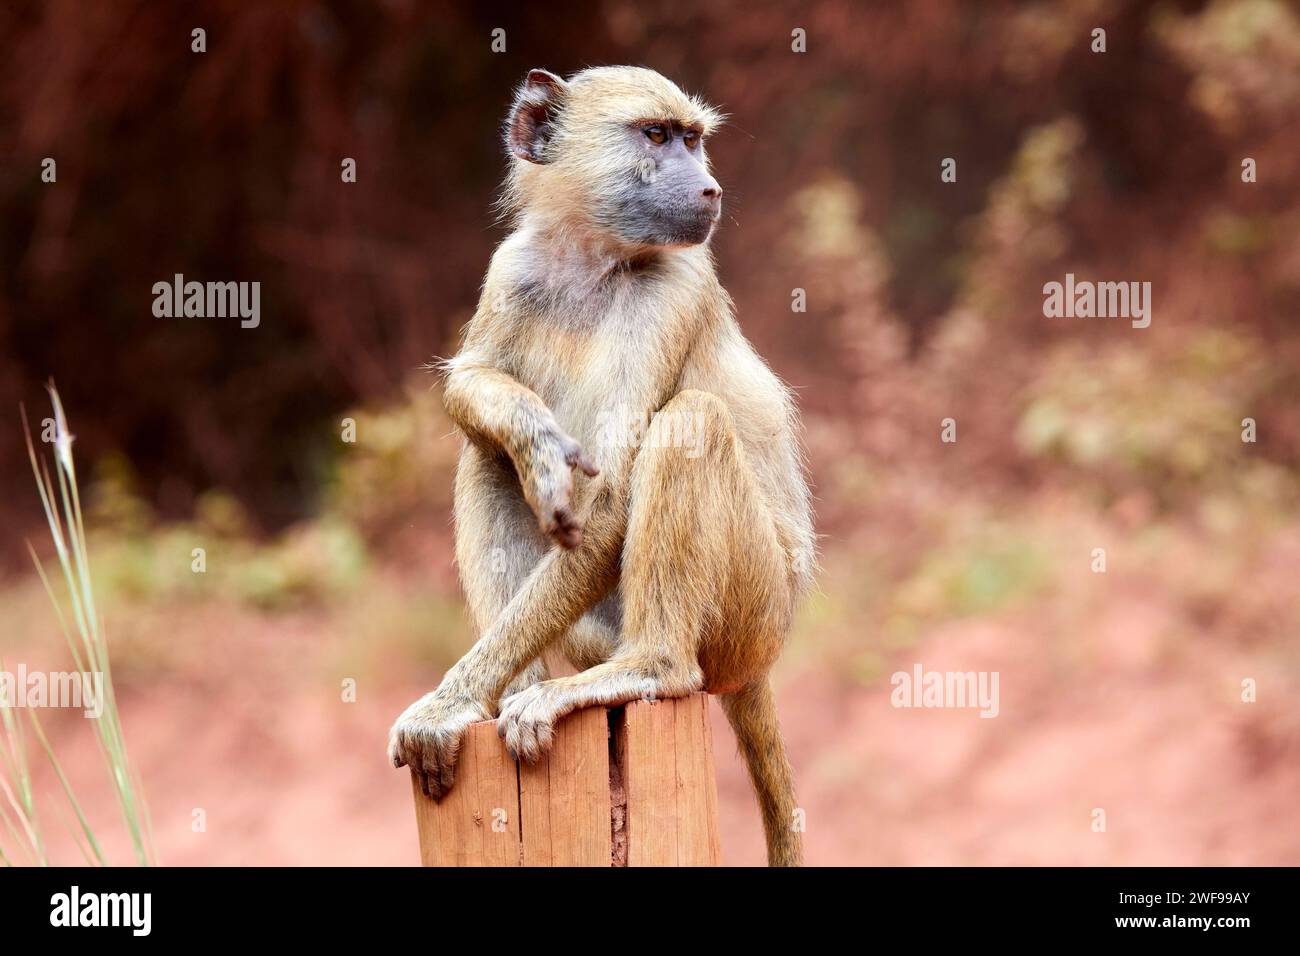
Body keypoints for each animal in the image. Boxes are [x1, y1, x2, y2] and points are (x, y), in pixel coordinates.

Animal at [387, 66, 816, 867]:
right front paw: (535, 441)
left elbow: (614, 493)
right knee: (483, 458)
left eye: (692, 139)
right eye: (655, 135)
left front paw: (448, 701)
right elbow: (472, 391)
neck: (591, 257)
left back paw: (644, 670)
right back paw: (503, 694)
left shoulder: (677, 283)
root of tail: (761, 664)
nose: (709, 188)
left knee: (691, 424)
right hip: (599, 630)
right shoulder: (513, 266)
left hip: (753, 611)